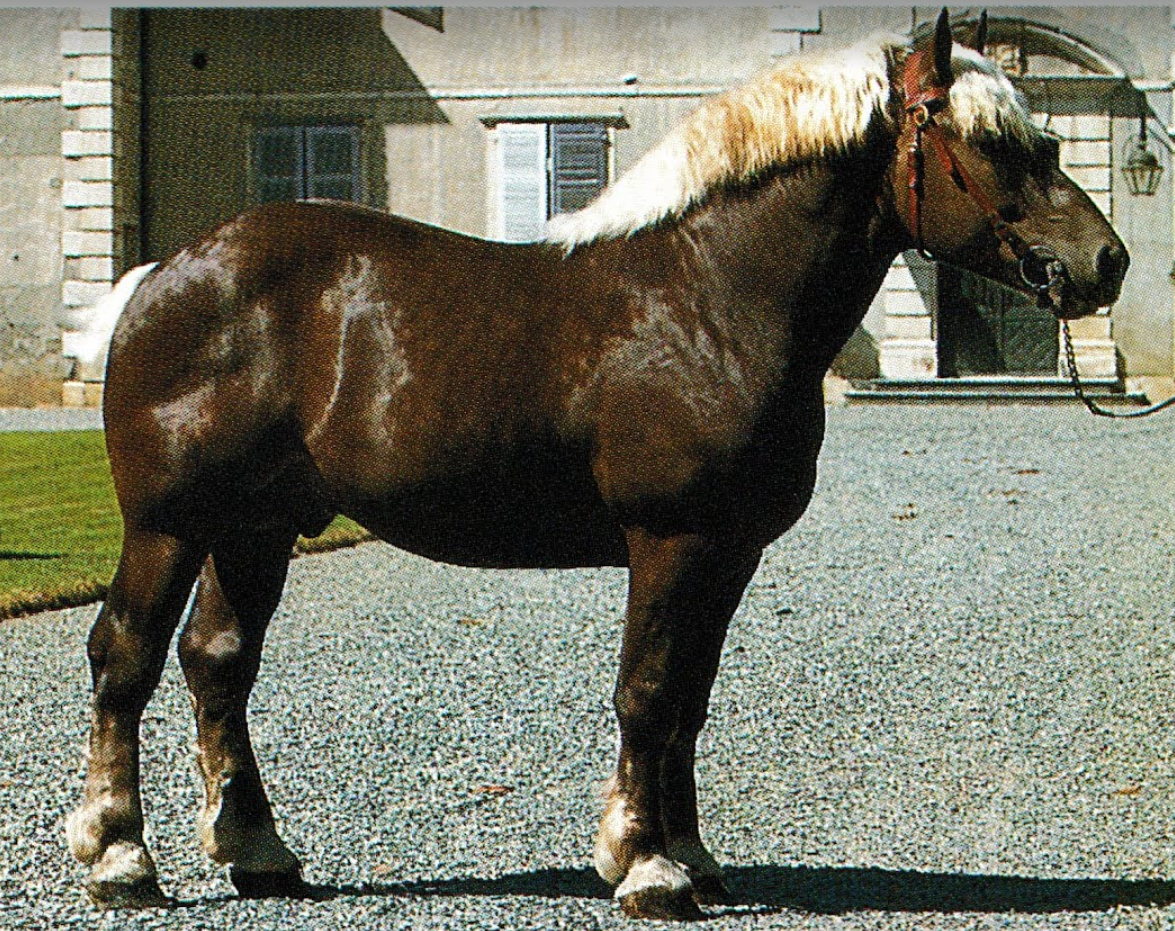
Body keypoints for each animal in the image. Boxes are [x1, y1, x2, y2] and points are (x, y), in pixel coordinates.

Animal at [66, 10, 1127, 920]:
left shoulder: (729, 552)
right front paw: (647, 867)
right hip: (168, 524)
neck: (707, 293)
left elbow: (689, 698)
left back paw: (257, 852)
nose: (1104, 263)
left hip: (258, 527)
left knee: (218, 662)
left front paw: (689, 854)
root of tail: (164, 273)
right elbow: (647, 691)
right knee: (125, 656)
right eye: (993, 143)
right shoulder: (670, 538)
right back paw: (121, 858)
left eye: (1044, 138)